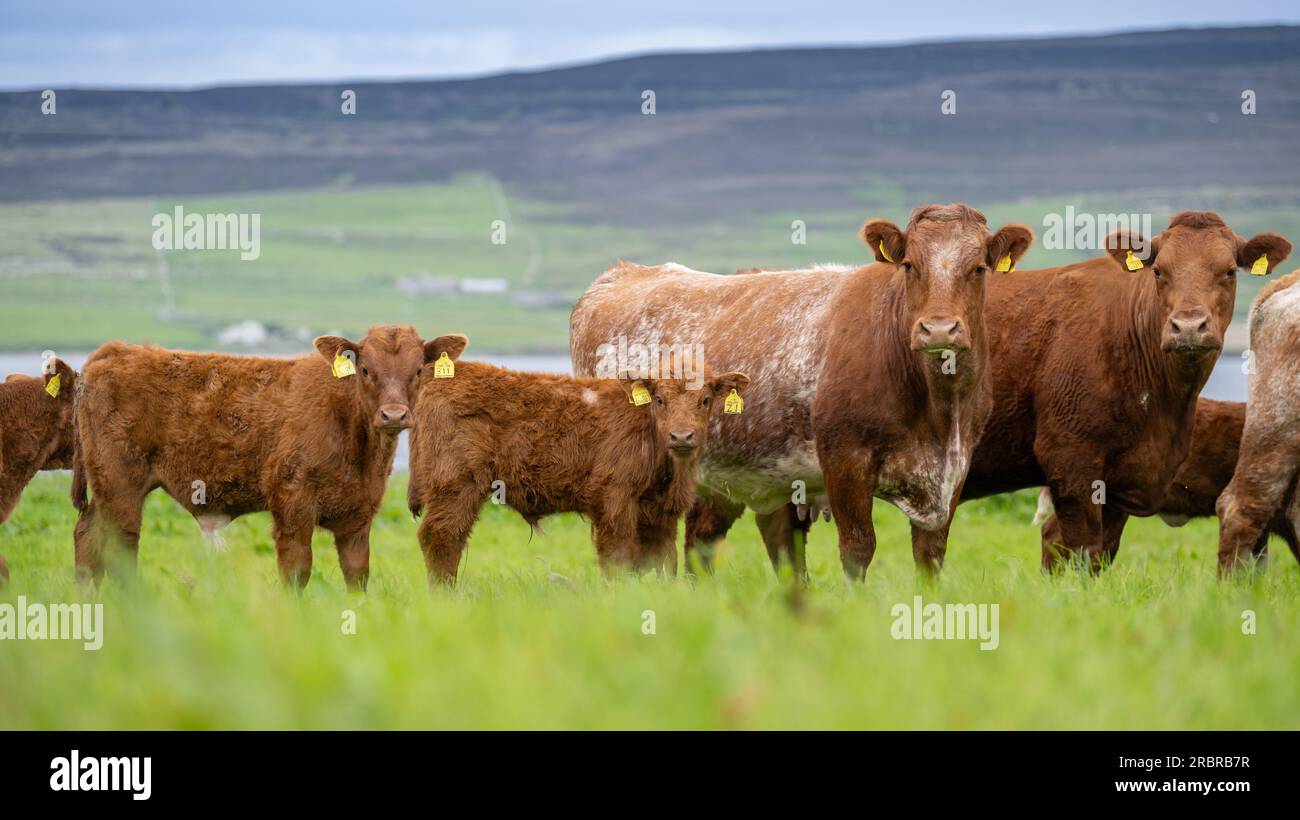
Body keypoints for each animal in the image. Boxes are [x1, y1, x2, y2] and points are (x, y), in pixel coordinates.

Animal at [70, 326, 441, 589]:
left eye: (418, 370)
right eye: (364, 369)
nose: (393, 415)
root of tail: (118, 350)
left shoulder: (359, 513)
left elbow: (357, 574)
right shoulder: (292, 503)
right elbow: (296, 571)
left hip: (106, 490)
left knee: (88, 540)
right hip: (120, 485)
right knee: (118, 548)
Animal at [407, 335, 750, 583]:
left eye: (705, 400)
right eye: (660, 400)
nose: (681, 436)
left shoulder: (662, 514)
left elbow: (662, 562)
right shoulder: (613, 500)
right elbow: (618, 557)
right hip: (456, 484)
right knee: (441, 537)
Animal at [571, 204, 1034, 578]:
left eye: (978, 268)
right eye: (908, 265)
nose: (938, 329)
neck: (939, 409)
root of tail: (622, 273)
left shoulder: (952, 468)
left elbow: (930, 555)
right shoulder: (845, 460)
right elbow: (858, 548)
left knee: (708, 543)